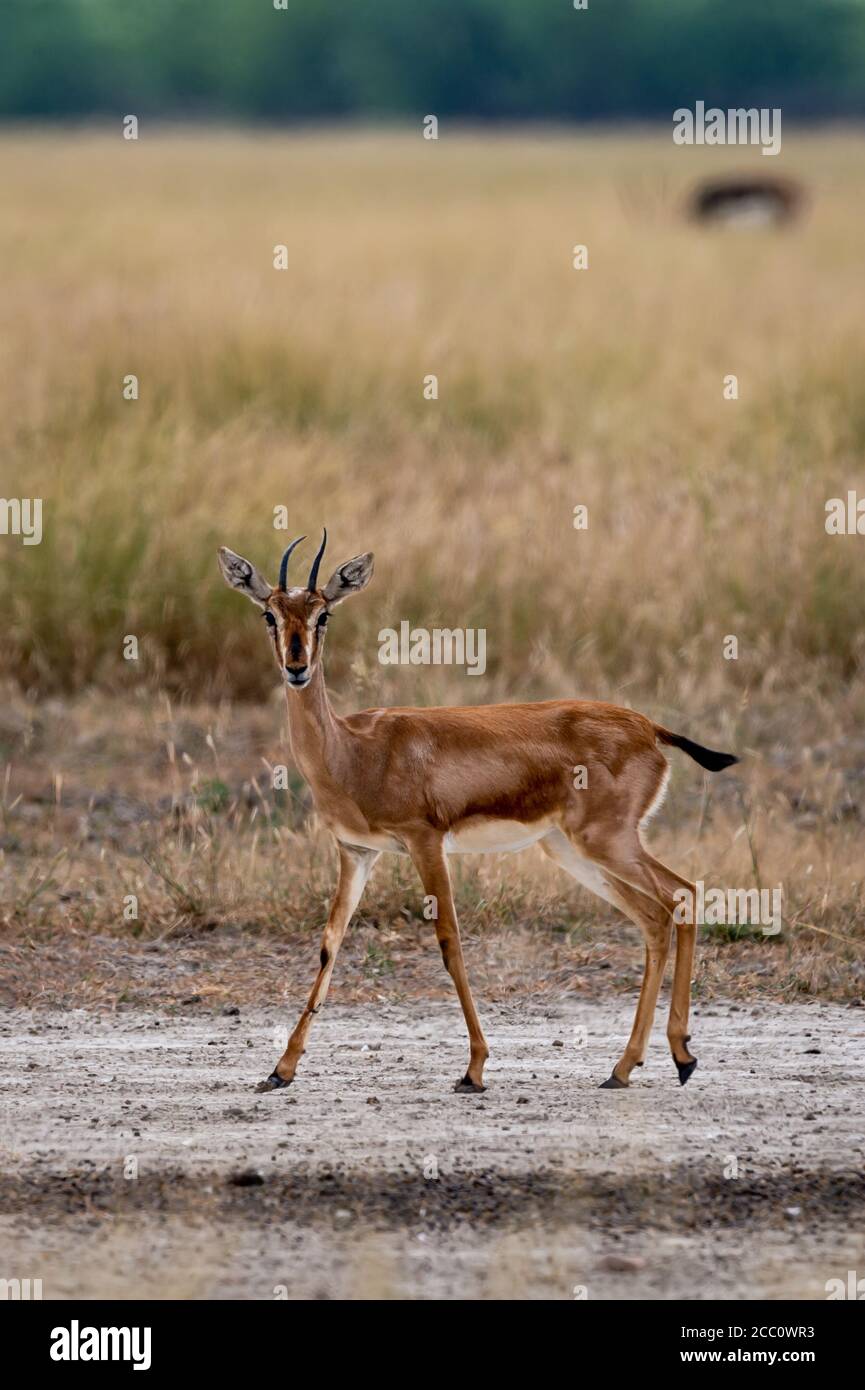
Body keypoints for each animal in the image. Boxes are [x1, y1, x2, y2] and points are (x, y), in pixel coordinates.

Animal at [218, 534, 738, 1095]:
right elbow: (329, 944)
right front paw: (280, 1069)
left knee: (680, 896)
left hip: (608, 842)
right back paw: (627, 1068)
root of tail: (648, 727)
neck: (352, 751)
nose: (297, 667)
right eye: (269, 613)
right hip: (573, 852)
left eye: (323, 614)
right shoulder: (356, 851)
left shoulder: (425, 842)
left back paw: (680, 1056)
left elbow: (449, 942)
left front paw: (474, 1068)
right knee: (654, 919)